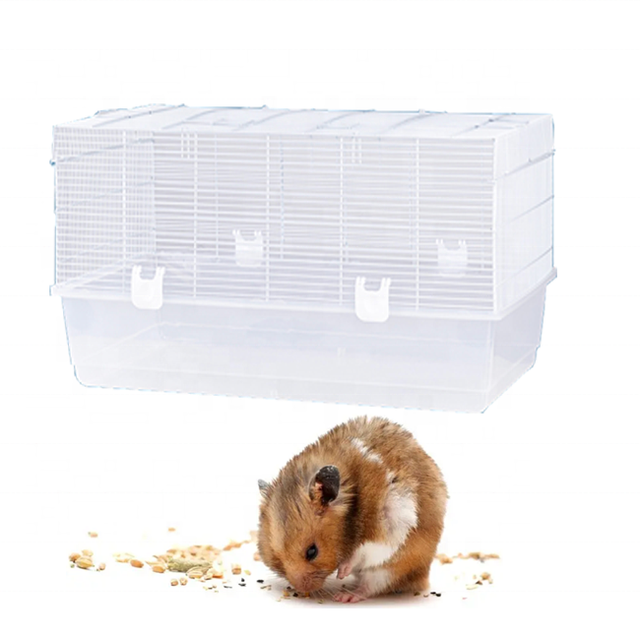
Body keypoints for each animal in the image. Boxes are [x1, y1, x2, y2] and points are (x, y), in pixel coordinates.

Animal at [257, 416, 447, 603]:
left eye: (312, 552)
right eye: (276, 557)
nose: (302, 589)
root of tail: (422, 579)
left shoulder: (391, 524)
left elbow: (362, 551)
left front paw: (342, 573)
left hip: (394, 568)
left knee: (372, 586)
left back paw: (345, 596)